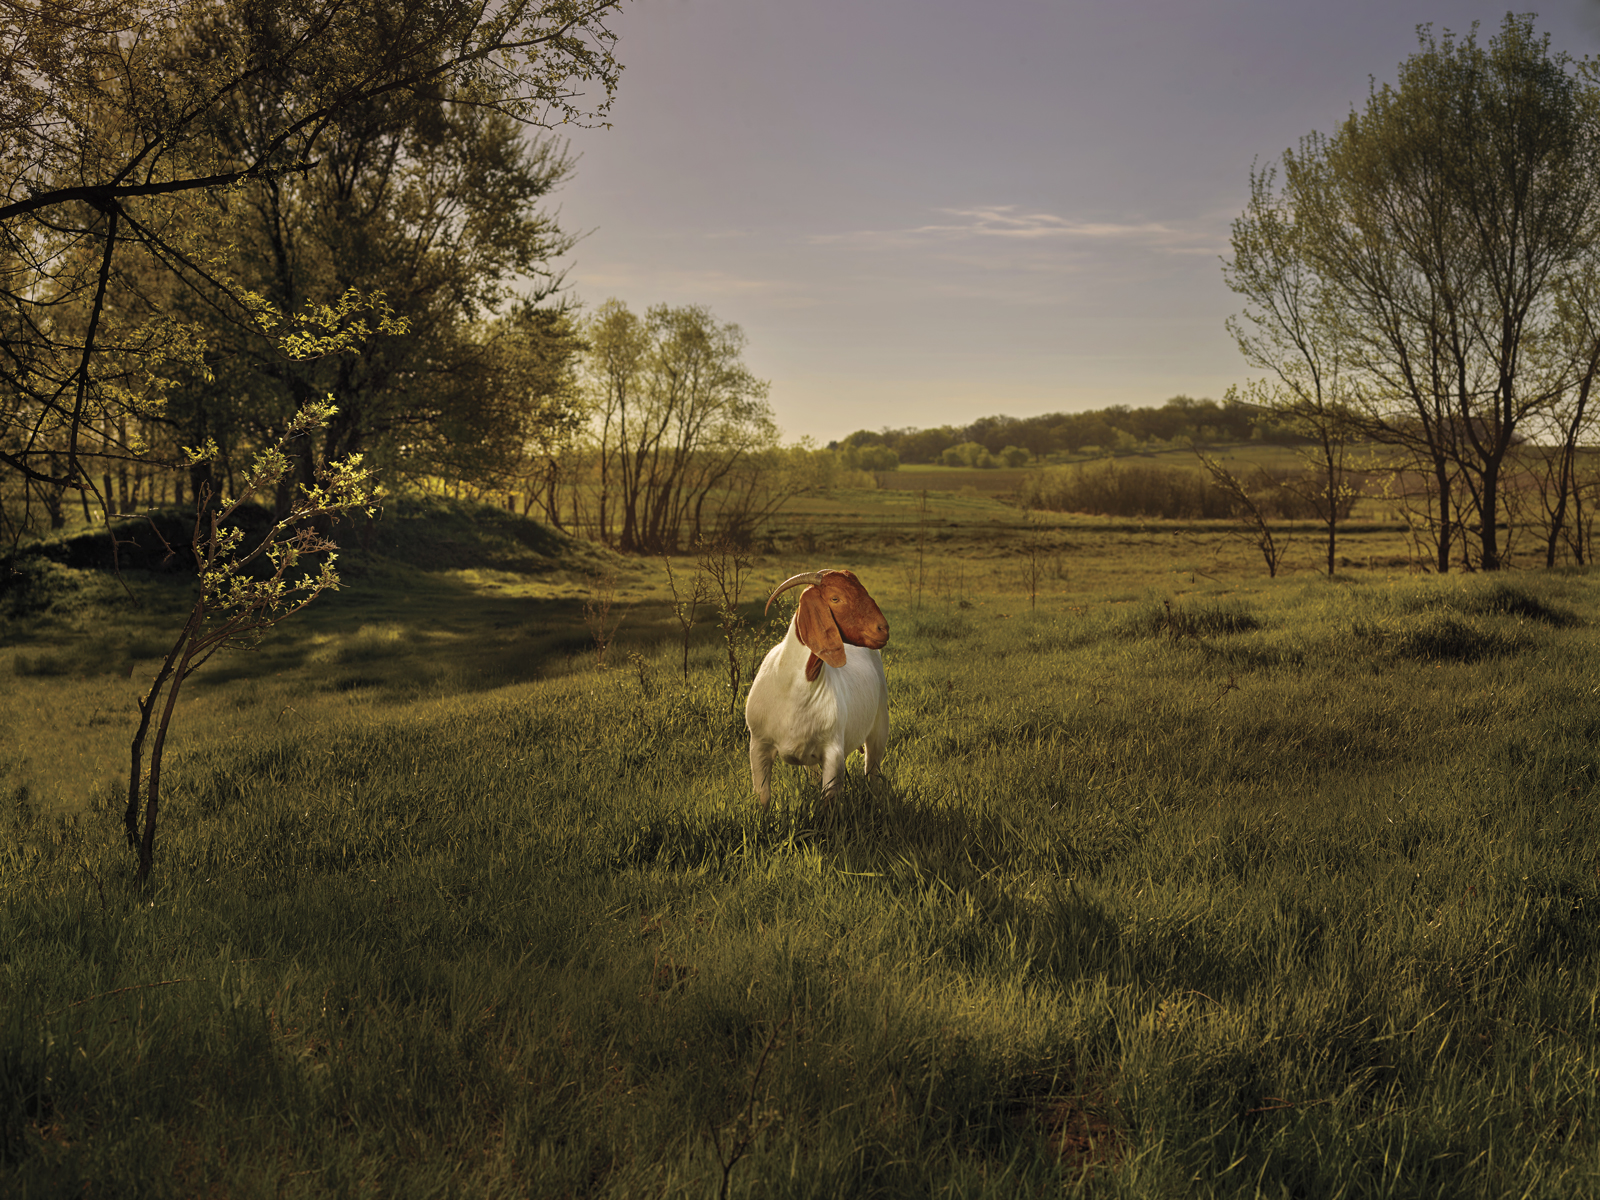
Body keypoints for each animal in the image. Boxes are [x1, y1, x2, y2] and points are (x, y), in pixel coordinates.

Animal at [745, 569, 890, 810]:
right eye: (835, 598)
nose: (883, 629)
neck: (792, 686)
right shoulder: (758, 746)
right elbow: (763, 796)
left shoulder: (833, 752)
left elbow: (829, 801)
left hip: (879, 724)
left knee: (873, 770)